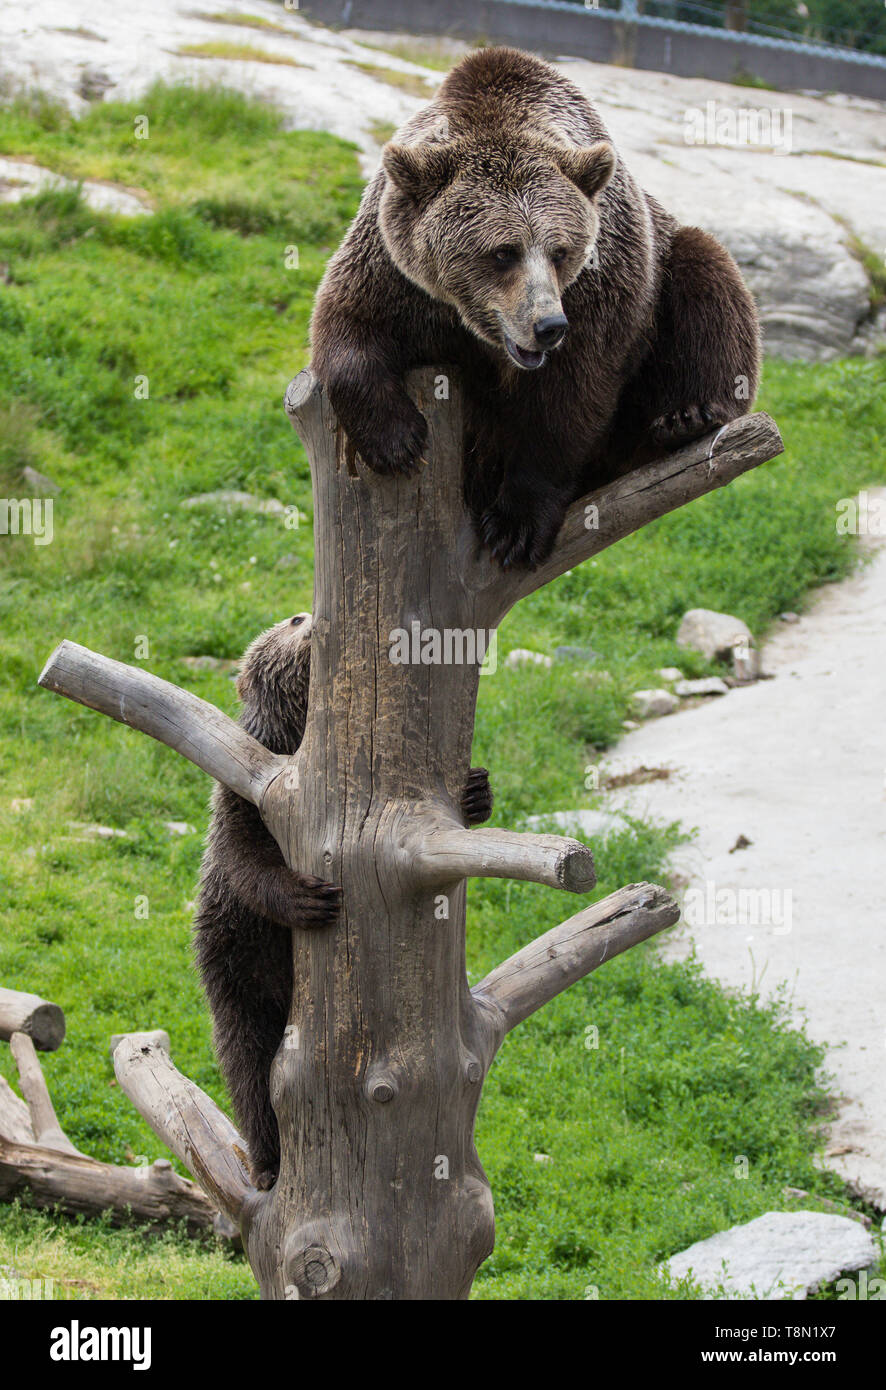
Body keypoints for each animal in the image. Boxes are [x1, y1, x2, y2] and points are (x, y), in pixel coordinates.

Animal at [193, 612, 494, 1188]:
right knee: (250, 1073)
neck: (300, 744)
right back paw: (267, 1163)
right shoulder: (246, 798)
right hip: (238, 980)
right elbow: (243, 861)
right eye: (290, 620)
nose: (307, 615)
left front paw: (475, 789)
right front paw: (307, 899)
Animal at [310, 45, 761, 570]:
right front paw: (398, 441)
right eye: (502, 252)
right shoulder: (394, 270)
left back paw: (687, 418)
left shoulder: (600, 293)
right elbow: (348, 324)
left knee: (707, 276)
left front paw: (516, 527)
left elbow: (567, 403)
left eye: (561, 251)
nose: (548, 325)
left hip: (665, 275)